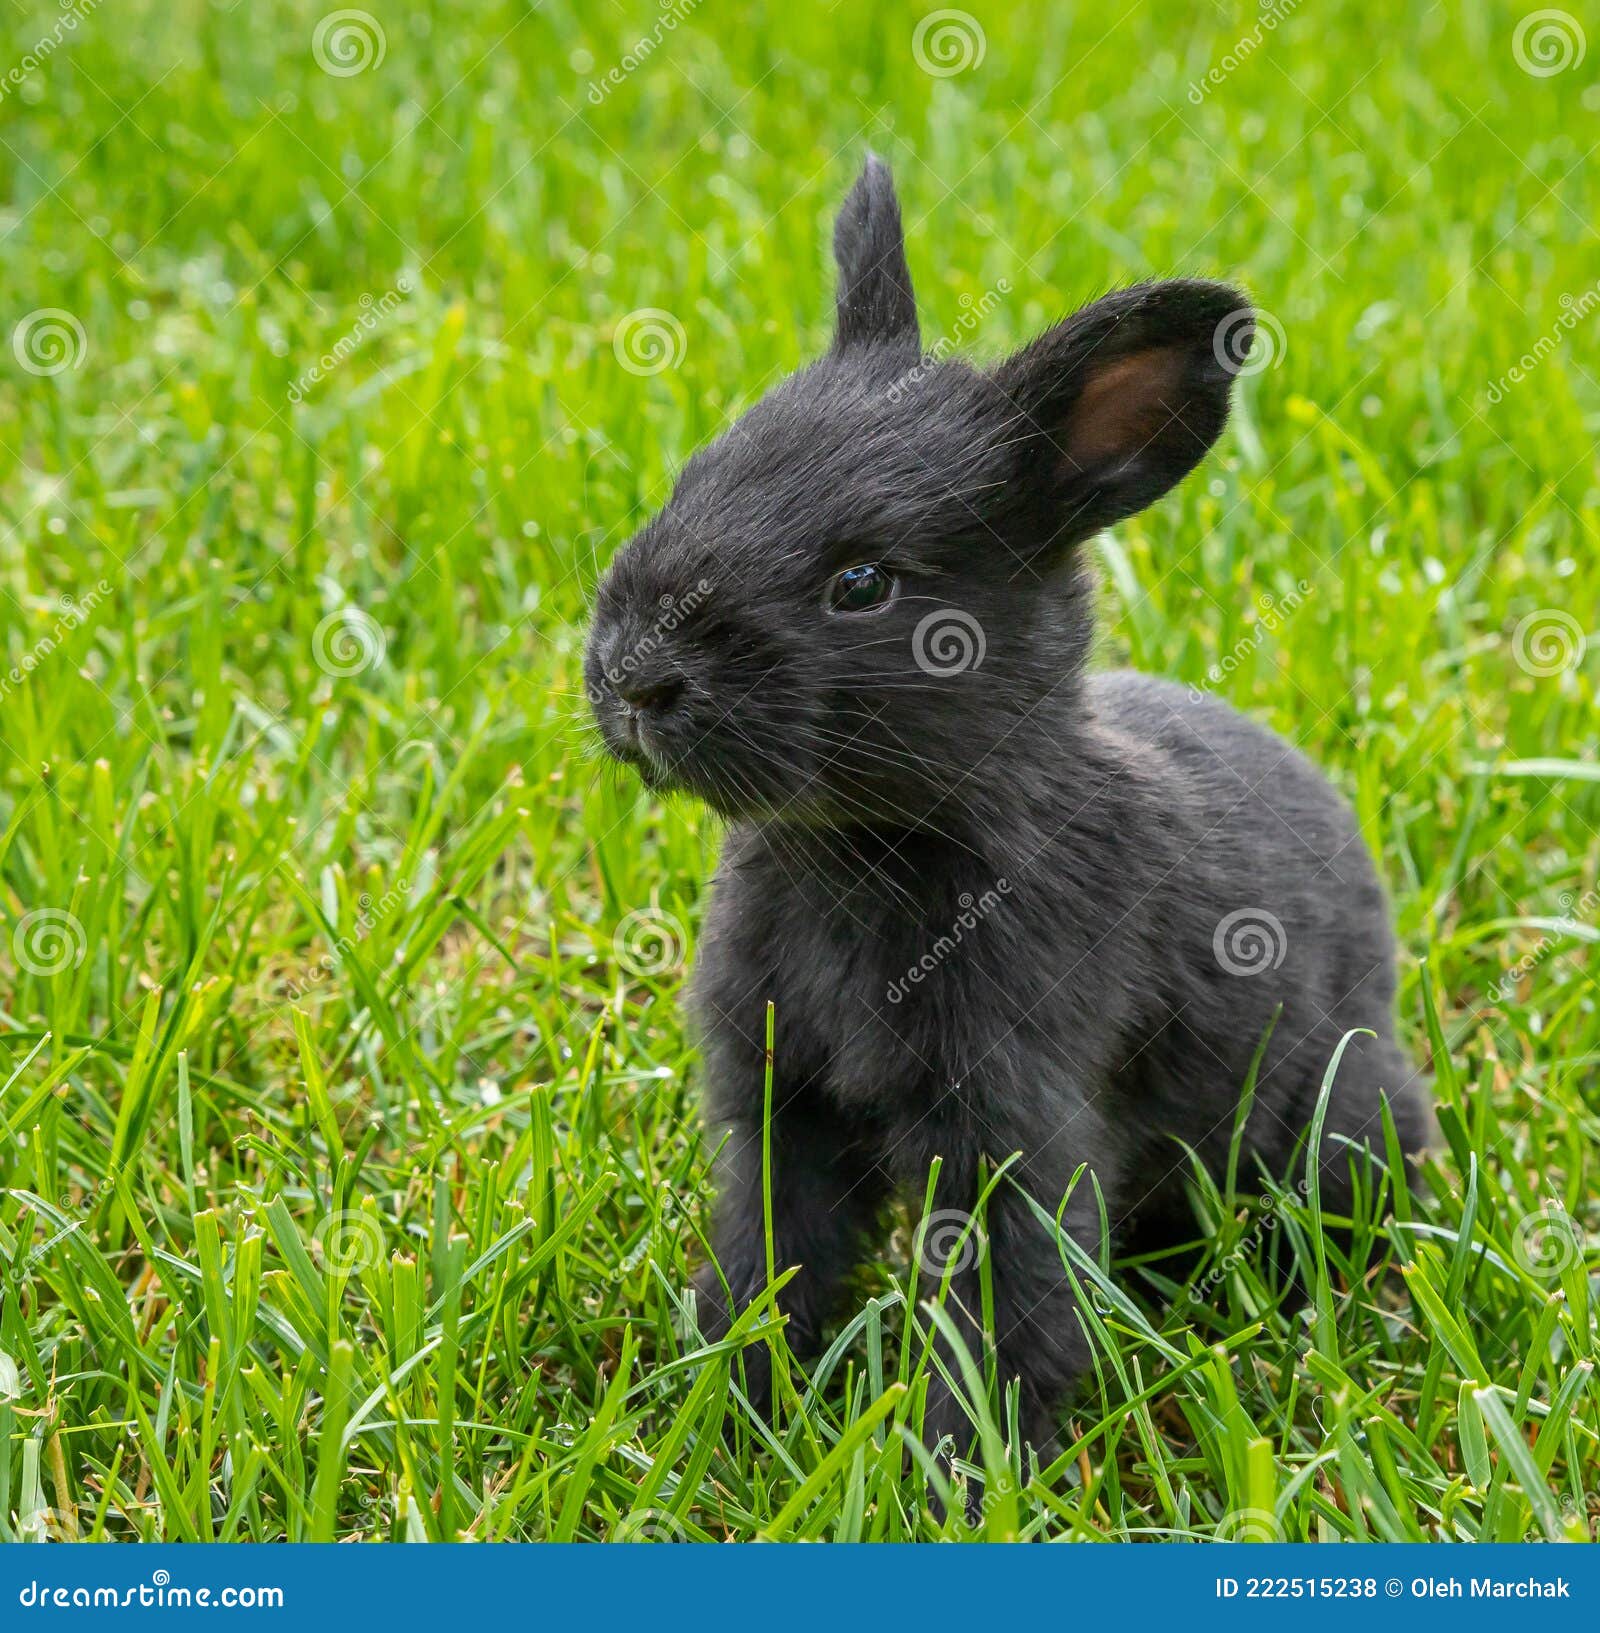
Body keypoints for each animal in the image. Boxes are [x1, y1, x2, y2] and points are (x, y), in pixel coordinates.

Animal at [584, 153, 1432, 1479]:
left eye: (862, 582)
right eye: (695, 477)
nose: (633, 675)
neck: (863, 852)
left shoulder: (1012, 1135)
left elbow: (1005, 1316)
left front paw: (959, 1479)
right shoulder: (779, 1115)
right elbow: (771, 1262)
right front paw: (728, 1419)